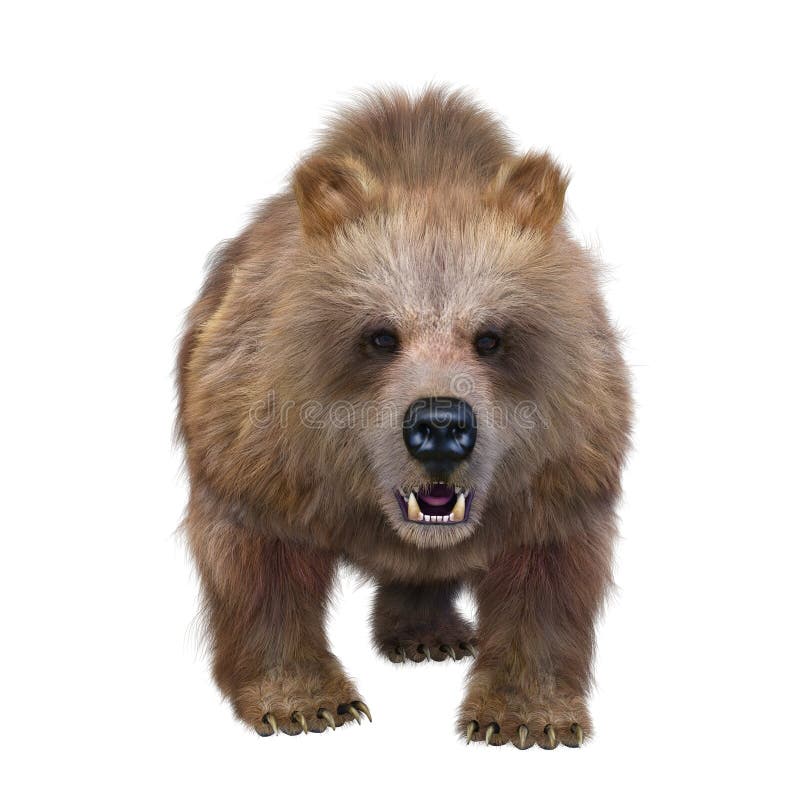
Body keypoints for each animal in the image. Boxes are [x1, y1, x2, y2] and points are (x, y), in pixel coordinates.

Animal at [176, 86, 632, 748]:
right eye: (380, 336)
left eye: (491, 338)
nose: (440, 424)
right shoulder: (260, 462)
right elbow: (262, 573)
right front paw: (305, 705)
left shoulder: (561, 475)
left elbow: (547, 586)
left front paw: (526, 716)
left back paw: (429, 636)